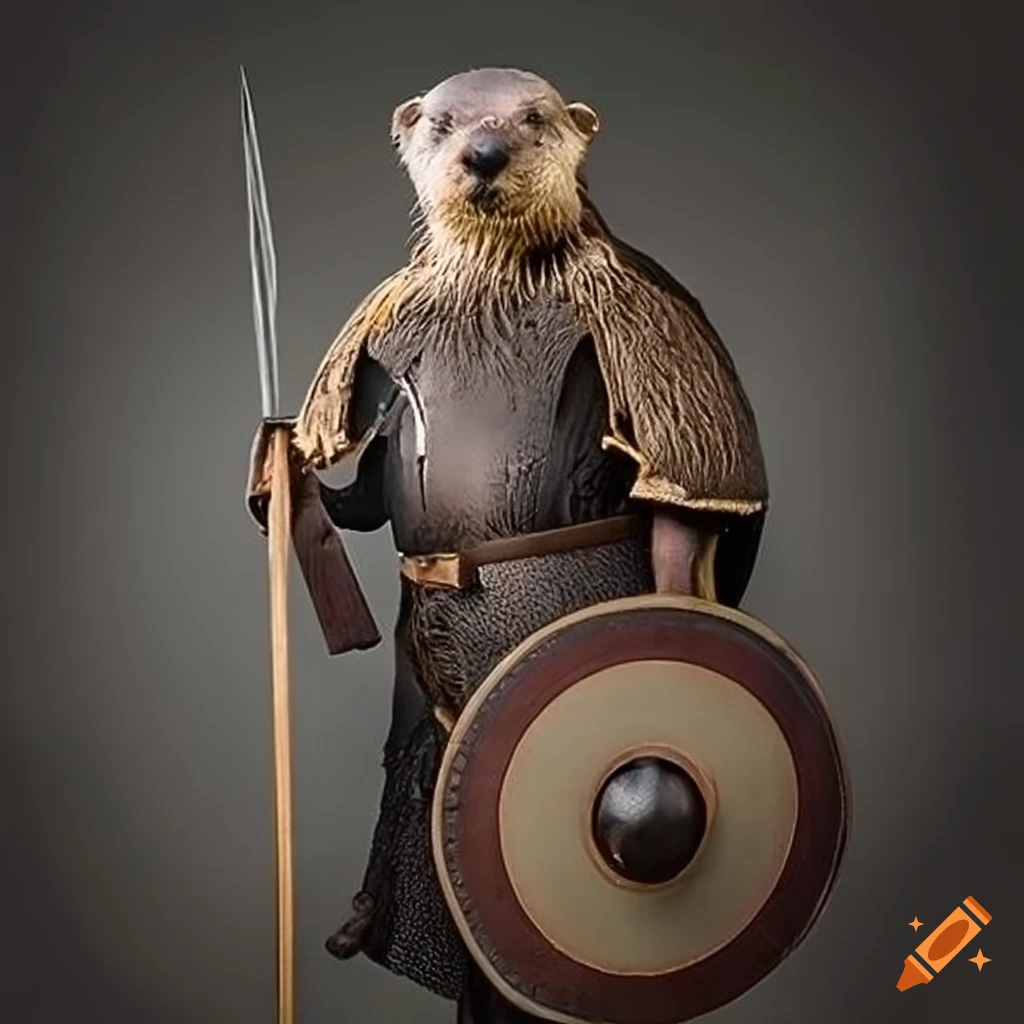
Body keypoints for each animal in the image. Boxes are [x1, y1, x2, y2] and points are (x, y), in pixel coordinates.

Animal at [248, 67, 766, 1024]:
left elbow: (678, 515)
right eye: (446, 123)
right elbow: (367, 496)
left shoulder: (649, 330)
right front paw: (276, 474)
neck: (497, 272)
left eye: (532, 120)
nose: (483, 156)